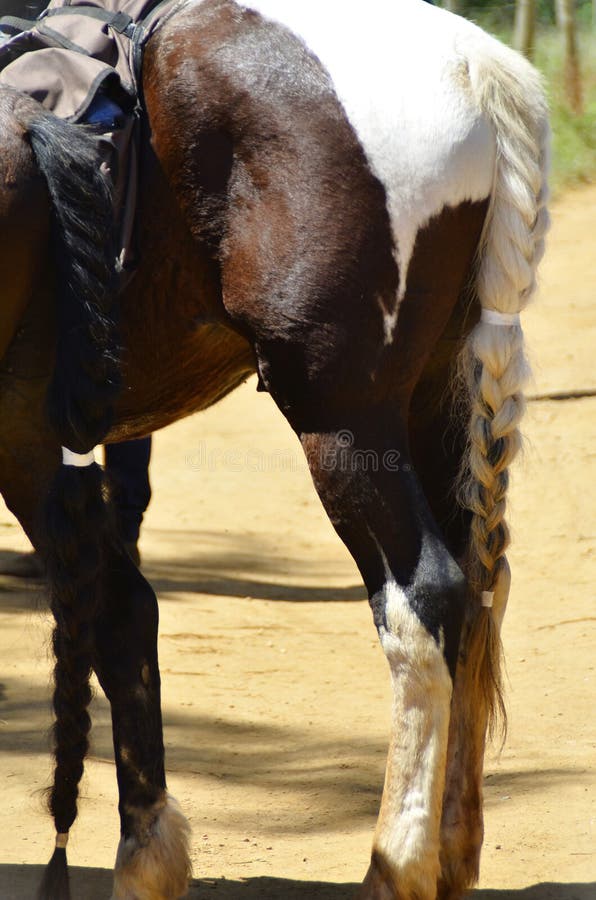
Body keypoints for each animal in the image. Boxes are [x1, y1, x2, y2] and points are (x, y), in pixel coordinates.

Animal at [0, 0, 549, 897]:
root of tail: (474, 63)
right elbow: (122, 609)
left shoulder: (31, 434)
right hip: (432, 395)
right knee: (479, 582)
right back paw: (452, 848)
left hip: (341, 418)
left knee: (426, 596)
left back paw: (396, 863)